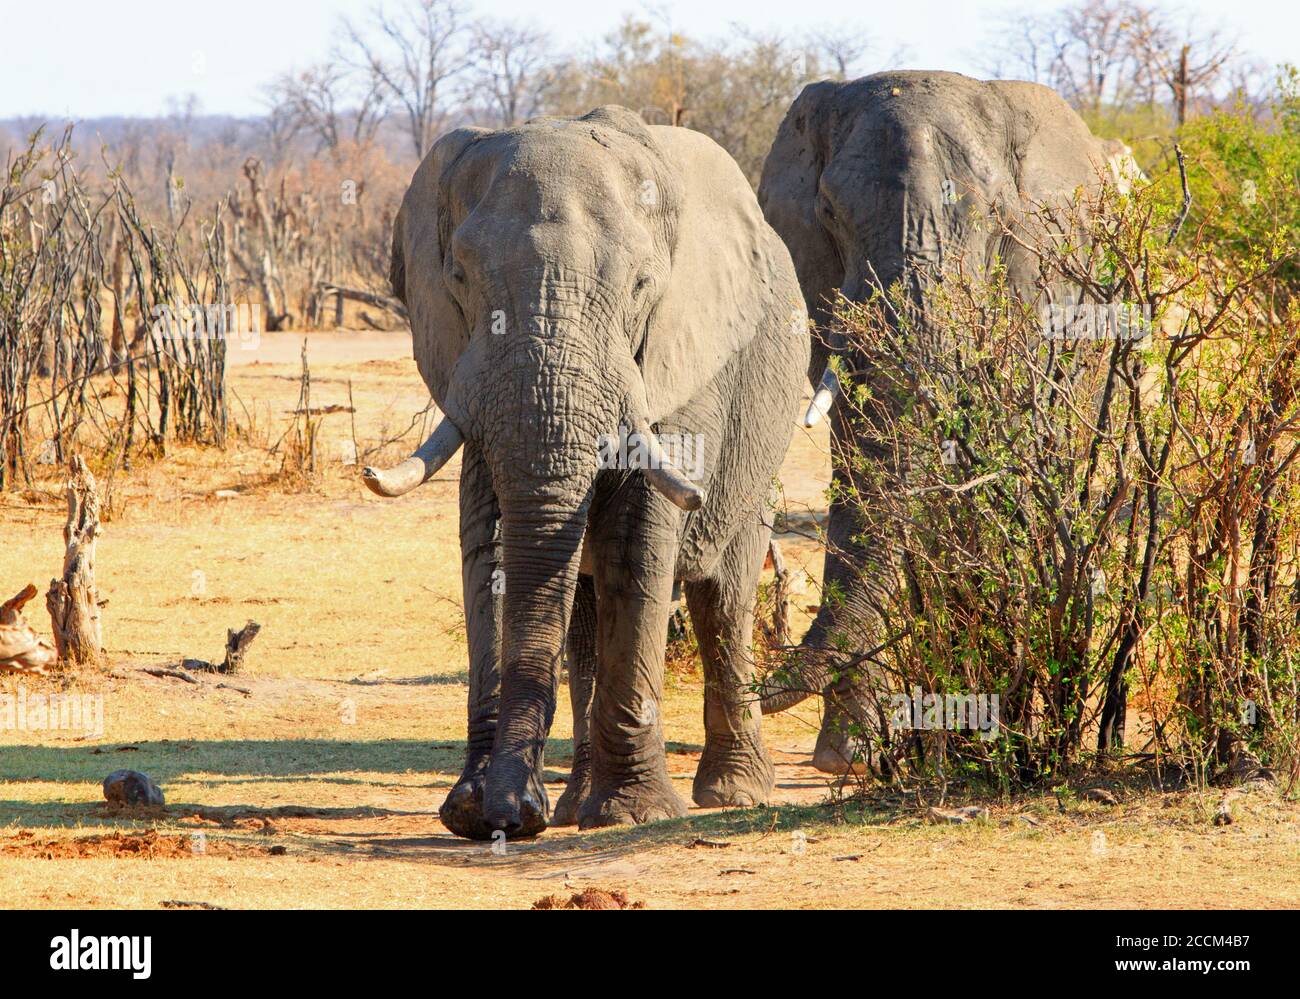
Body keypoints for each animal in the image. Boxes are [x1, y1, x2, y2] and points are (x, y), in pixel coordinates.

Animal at [365, 106, 809, 838]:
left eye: (641, 286)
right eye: (458, 278)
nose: (511, 814)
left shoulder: (674, 364)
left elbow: (638, 542)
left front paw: (633, 814)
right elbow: (492, 544)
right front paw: (475, 810)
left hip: (765, 426)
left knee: (724, 595)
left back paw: (732, 794)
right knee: (583, 615)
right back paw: (577, 804)